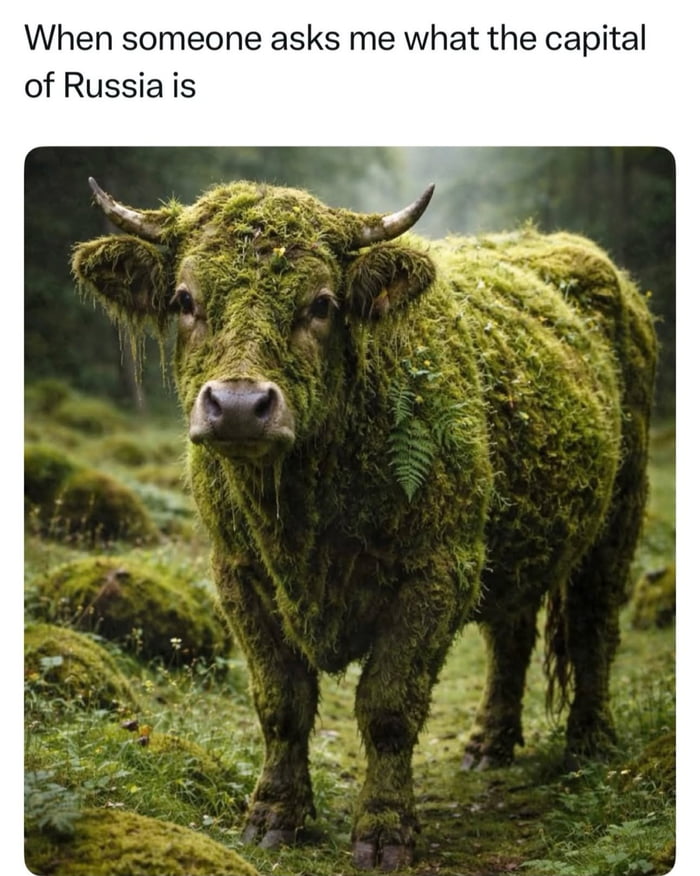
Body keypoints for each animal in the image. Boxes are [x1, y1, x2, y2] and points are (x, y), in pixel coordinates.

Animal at [72, 177, 657, 870]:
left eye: (322, 303)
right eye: (185, 299)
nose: (239, 406)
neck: (302, 514)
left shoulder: (436, 574)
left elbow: (387, 708)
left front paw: (383, 832)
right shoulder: (238, 576)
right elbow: (281, 702)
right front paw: (274, 816)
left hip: (619, 513)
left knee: (594, 626)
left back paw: (589, 746)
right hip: (514, 538)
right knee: (510, 633)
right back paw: (488, 744)